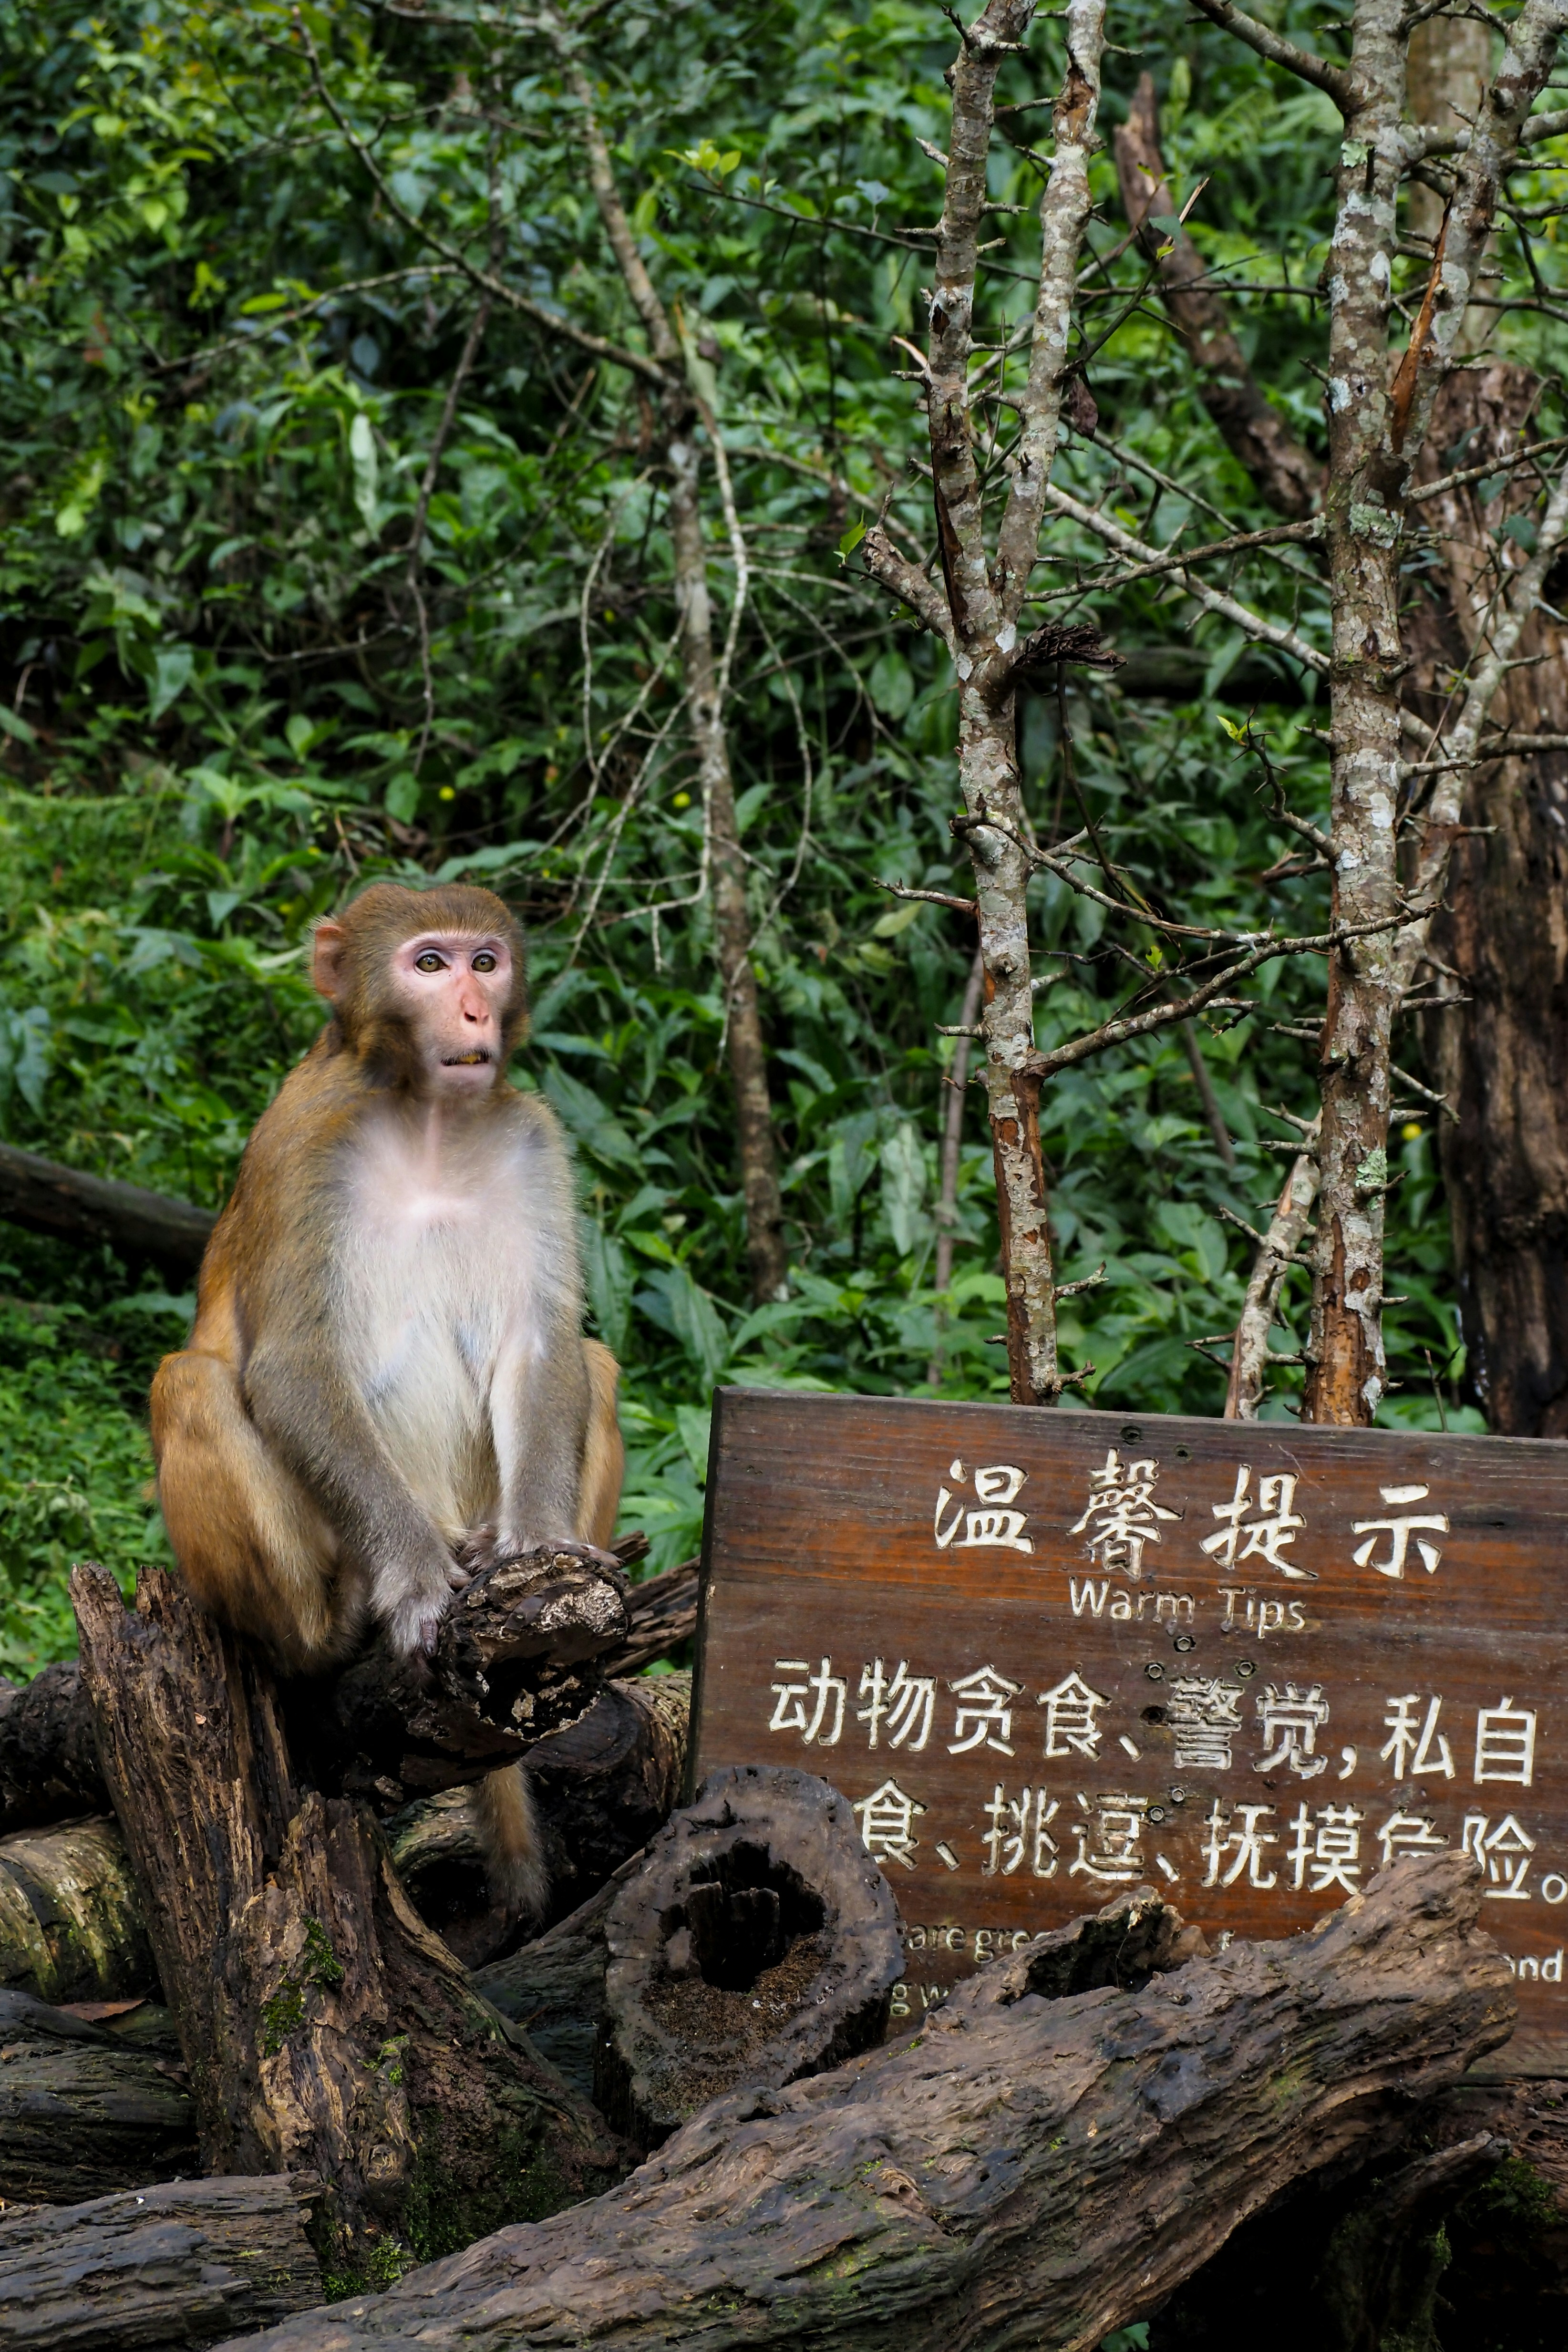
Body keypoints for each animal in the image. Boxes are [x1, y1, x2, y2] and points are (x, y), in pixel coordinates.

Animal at [150, 880, 624, 1913]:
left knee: (598, 1363)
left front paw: (538, 1543)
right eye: (429, 965)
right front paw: (408, 1583)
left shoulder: (534, 1138)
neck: (430, 1120)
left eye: (485, 962)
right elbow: (291, 1366)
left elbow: (544, 1345)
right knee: (190, 1382)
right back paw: (335, 1627)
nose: (475, 1013)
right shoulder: (302, 1141)